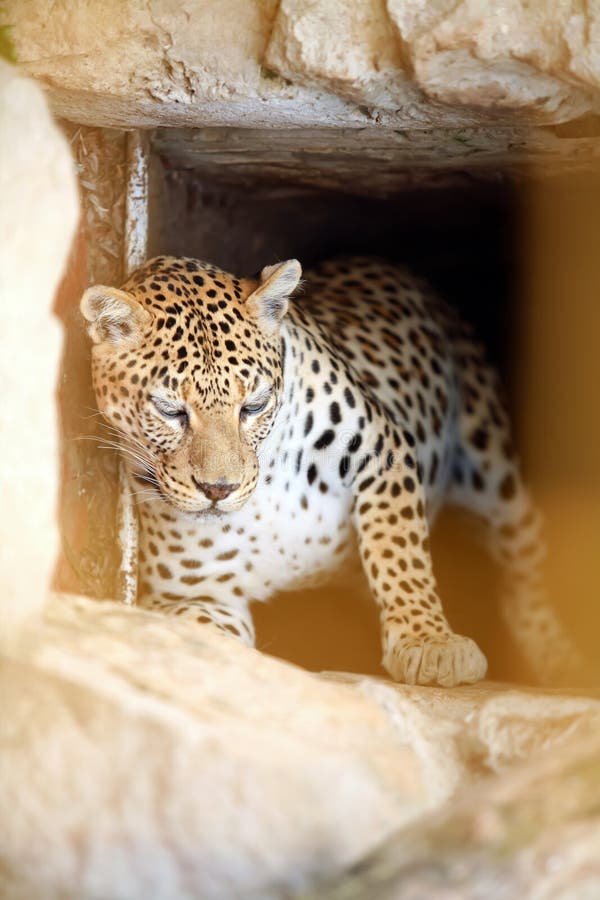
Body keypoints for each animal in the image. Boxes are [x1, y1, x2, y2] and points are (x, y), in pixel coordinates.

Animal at [80, 254, 580, 686]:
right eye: (170, 411)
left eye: (253, 406)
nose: (219, 489)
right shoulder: (194, 595)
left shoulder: (382, 449)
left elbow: (400, 554)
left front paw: (428, 641)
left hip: (496, 478)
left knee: (524, 575)